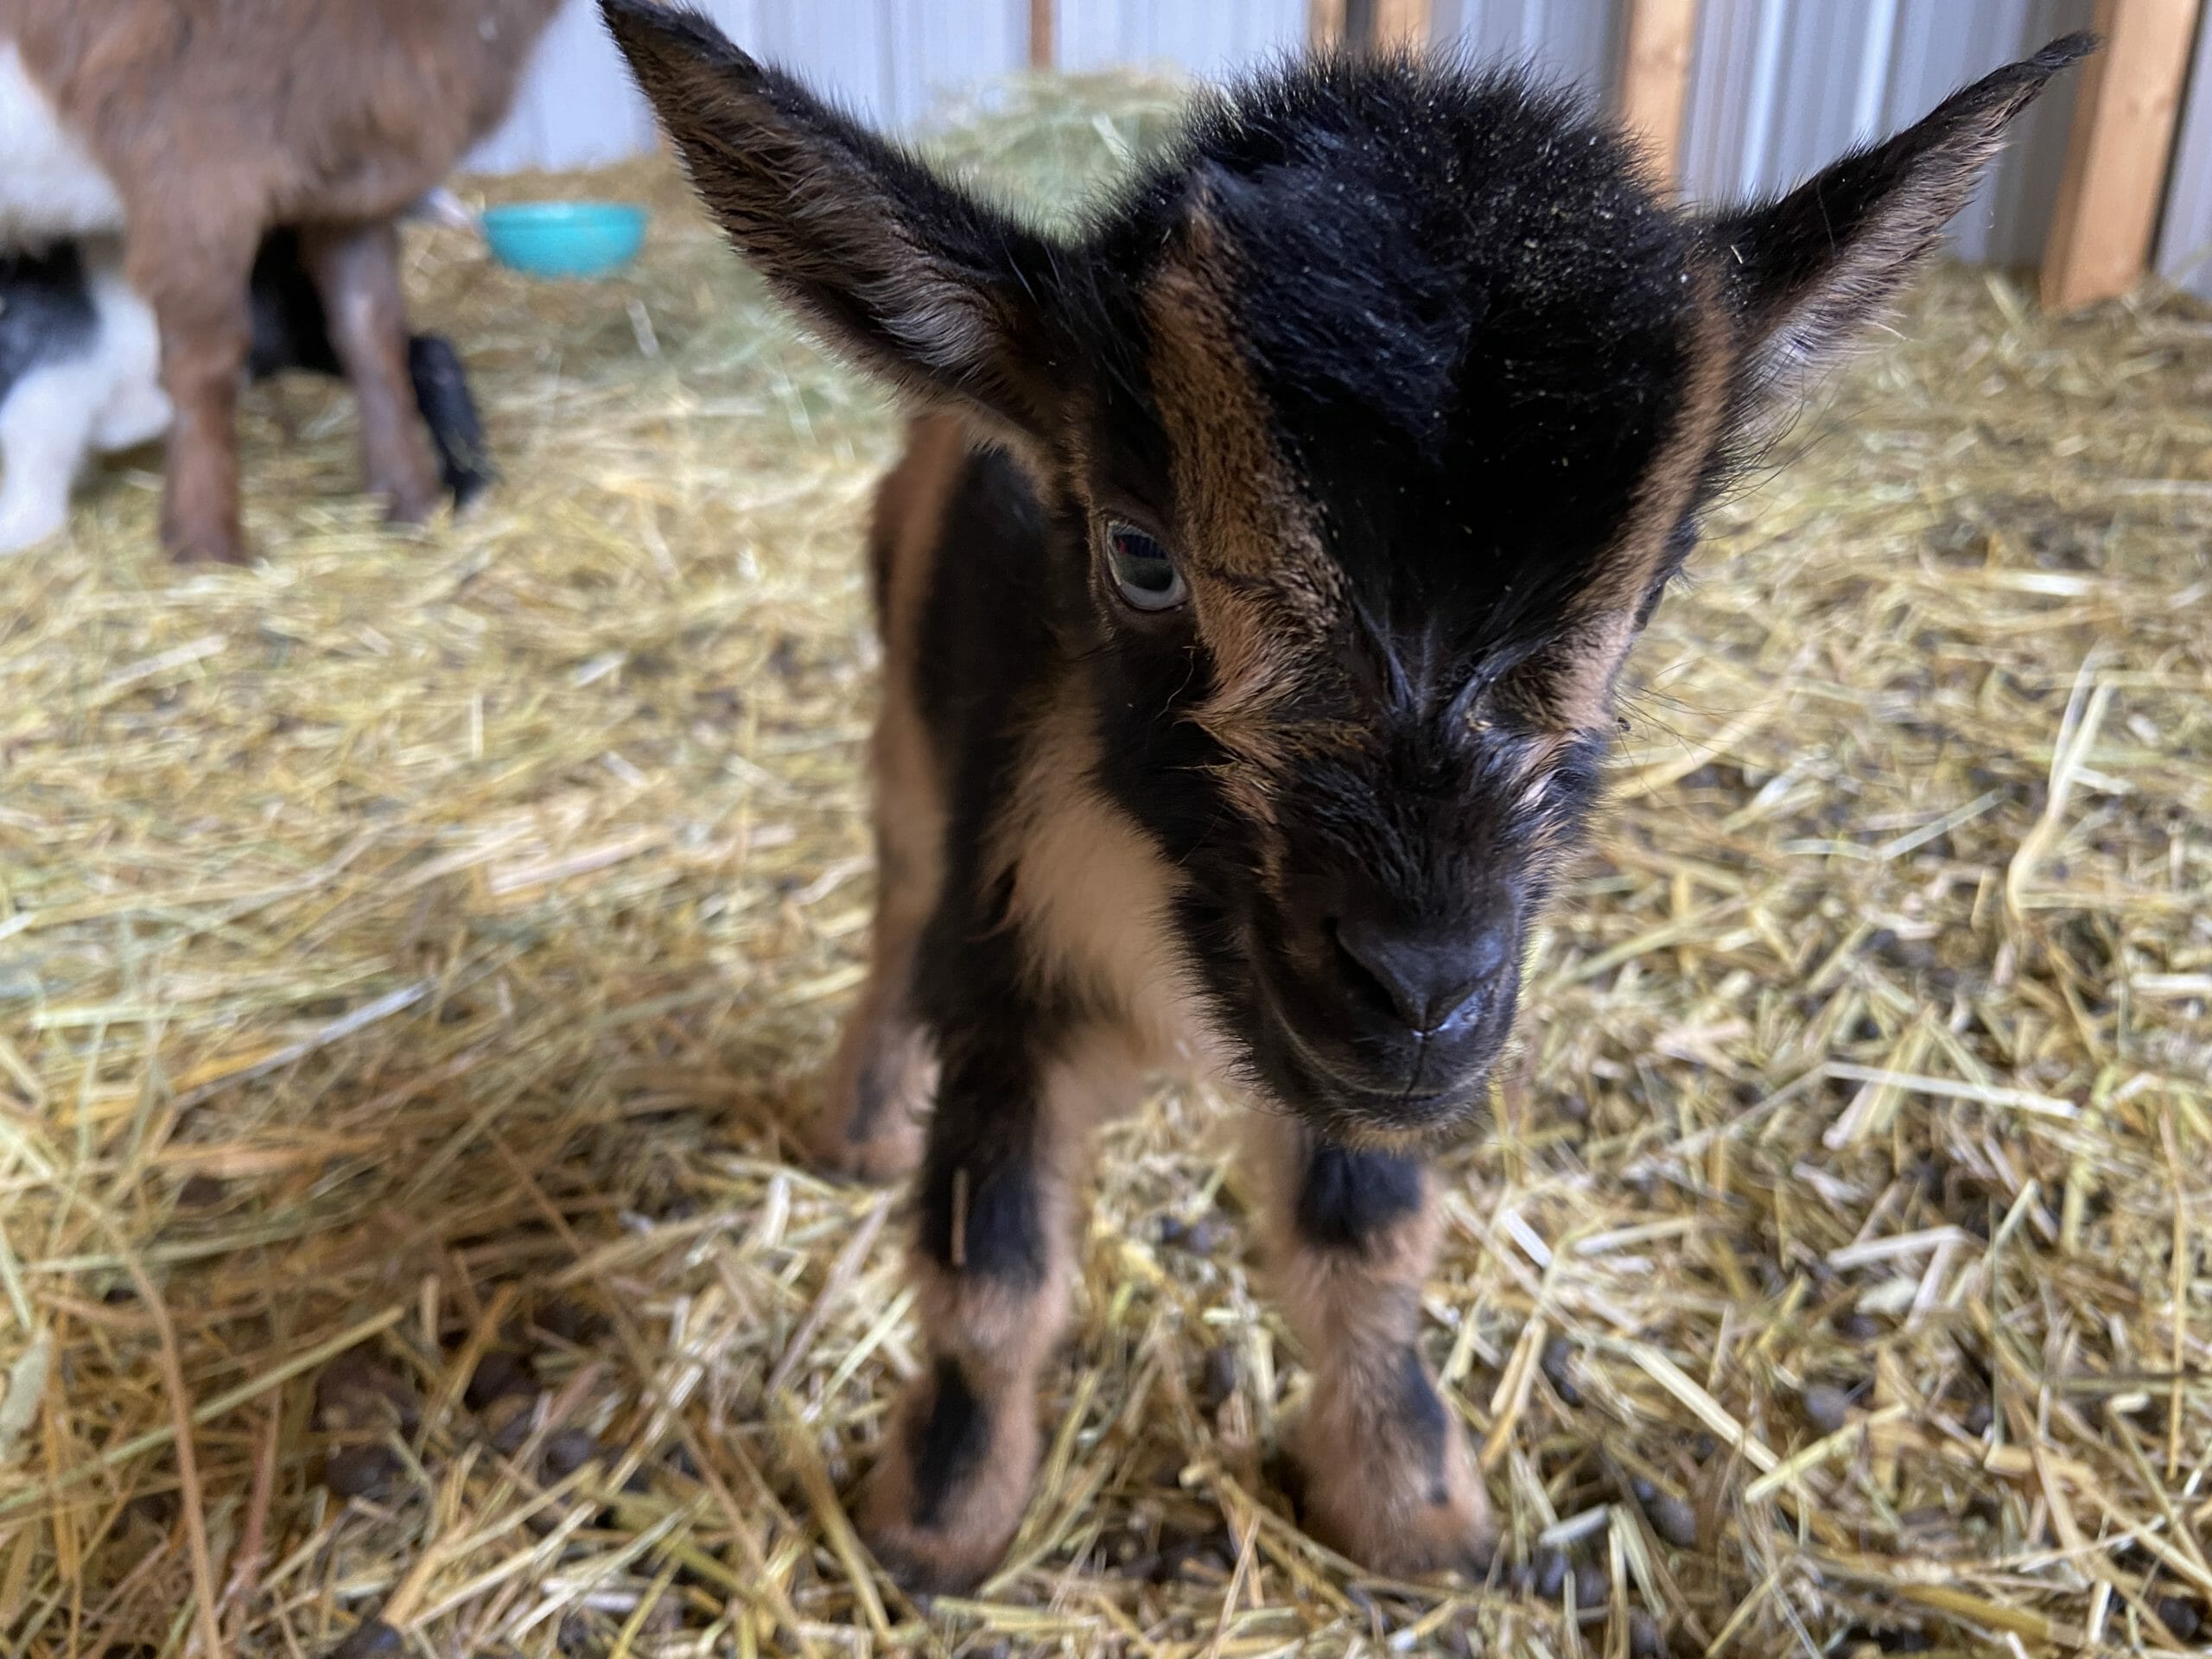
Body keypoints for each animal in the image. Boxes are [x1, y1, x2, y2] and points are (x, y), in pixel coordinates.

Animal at [604, 0, 2088, 1591]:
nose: (1426, 981)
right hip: (905, 735)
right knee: (895, 896)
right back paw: (862, 1115)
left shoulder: (1339, 1052)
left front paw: (1407, 1492)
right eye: (1139, 555)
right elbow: (989, 1277)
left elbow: (1361, 1243)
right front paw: (937, 1517)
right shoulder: (1018, 973)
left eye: (1645, 595)